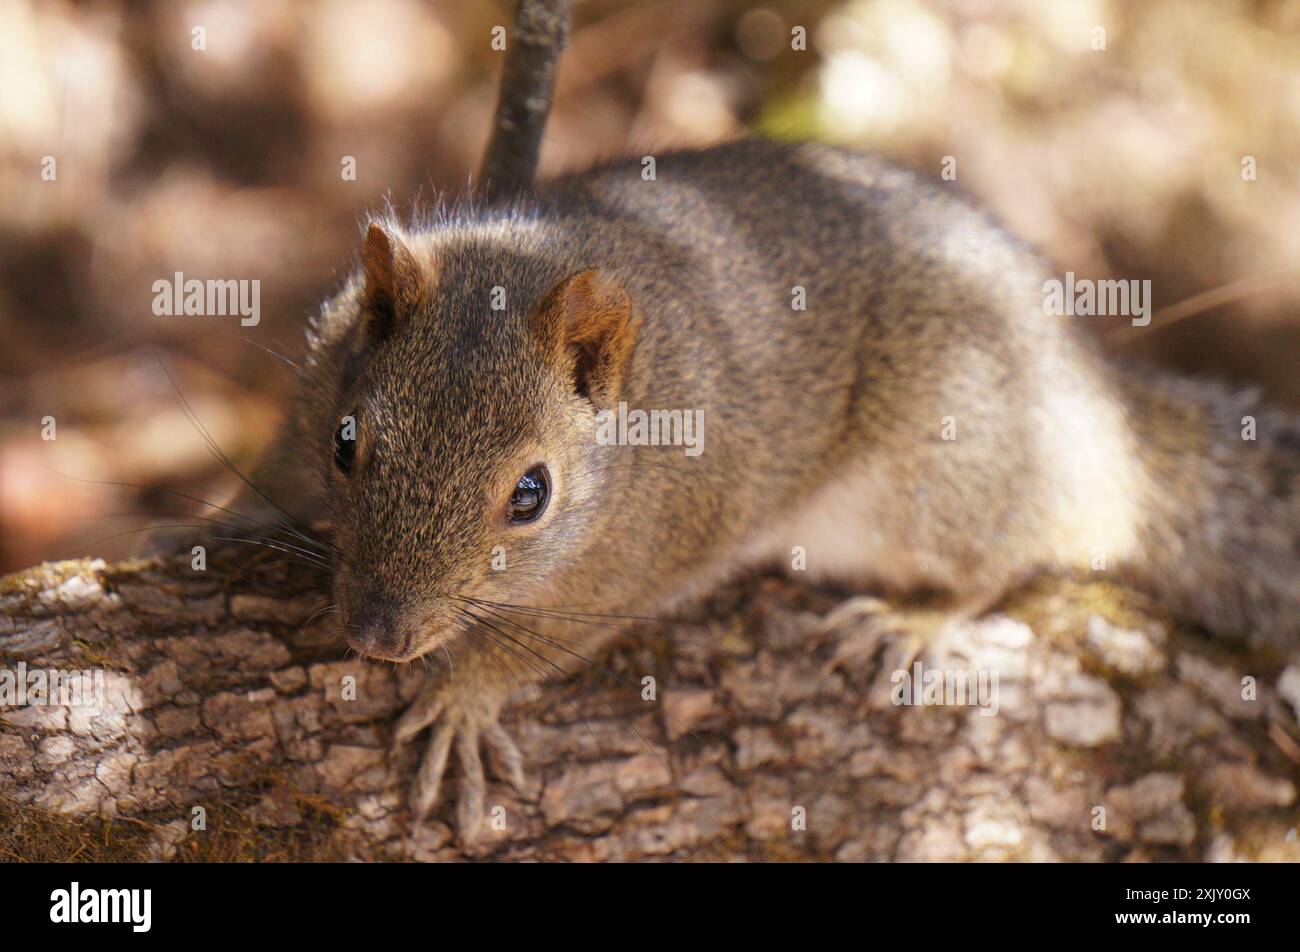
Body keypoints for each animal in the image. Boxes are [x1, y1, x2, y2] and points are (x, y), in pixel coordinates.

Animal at [195, 139, 1300, 841]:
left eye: (532, 494)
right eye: (347, 442)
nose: (378, 635)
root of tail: (1102, 417)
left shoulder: (650, 549)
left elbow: (542, 639)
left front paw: (465, 698)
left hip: (948, 469)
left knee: (1004, 556)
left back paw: (917, 620)